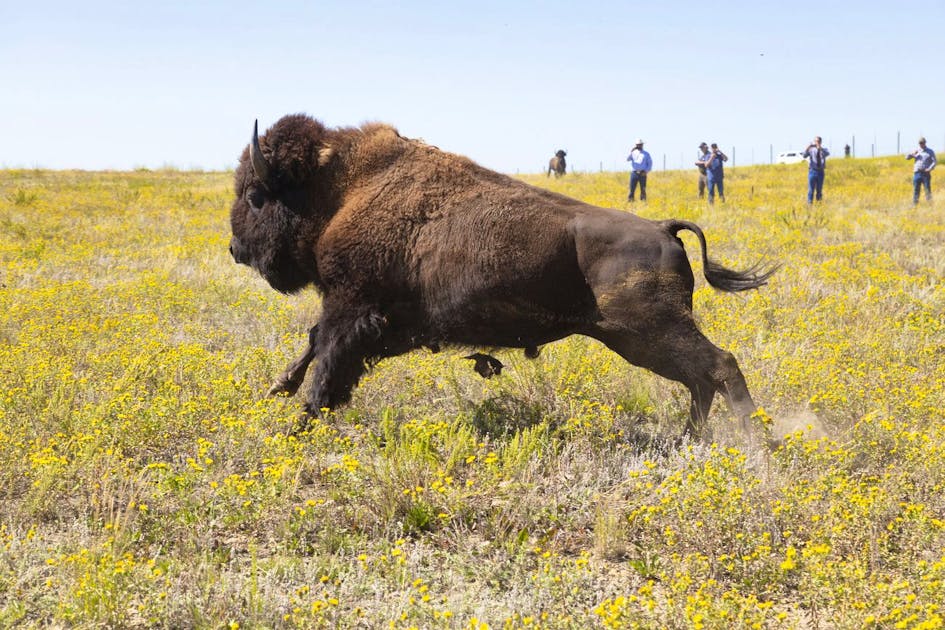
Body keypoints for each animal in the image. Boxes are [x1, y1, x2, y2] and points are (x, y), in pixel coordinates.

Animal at [229, 114, 776, 438]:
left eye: (256, 196)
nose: (236, 249)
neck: (342, 191)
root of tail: (663, 228)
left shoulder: (352, 309)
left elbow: (327, 360)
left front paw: (299, 423)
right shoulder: (375, 320)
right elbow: (314, 344)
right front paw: (277, 392)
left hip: (647, 333)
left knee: (719, 366)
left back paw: (758, 441)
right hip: (640, 338)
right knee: (700, 377)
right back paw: (692, 439)